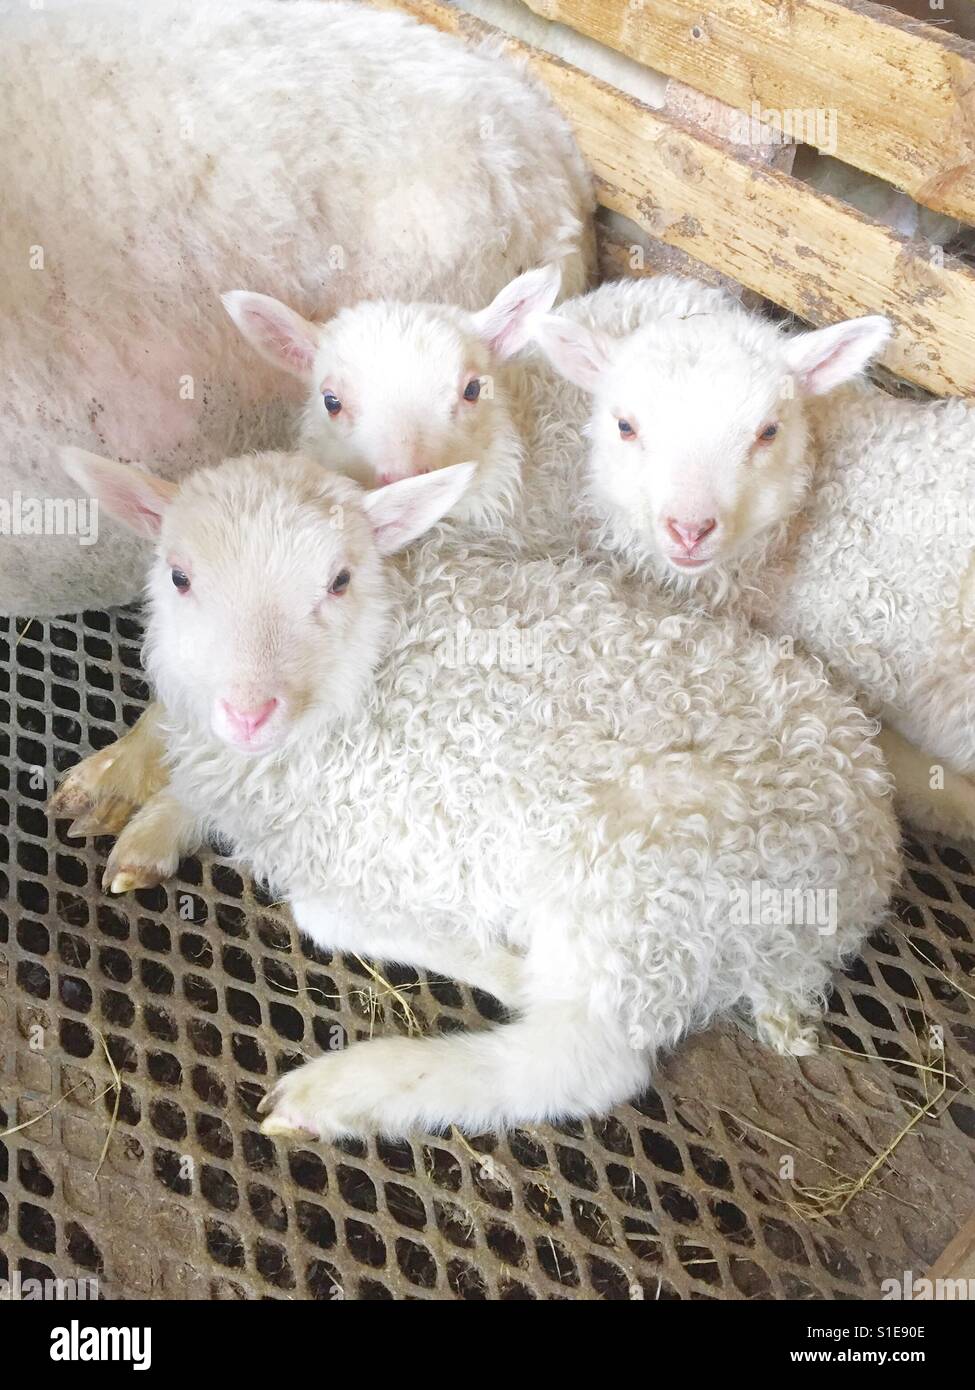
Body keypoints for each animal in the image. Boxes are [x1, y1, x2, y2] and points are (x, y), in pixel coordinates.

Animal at [59, 441, 901, 1137]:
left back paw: (346, 1090)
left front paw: (490, 960)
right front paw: (133, 802)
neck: (375, 664)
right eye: (179, 576)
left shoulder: (407, 830)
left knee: (588, 1061)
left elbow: (322, 912)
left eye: (339, 581)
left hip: (643, 870)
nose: (249, 709)